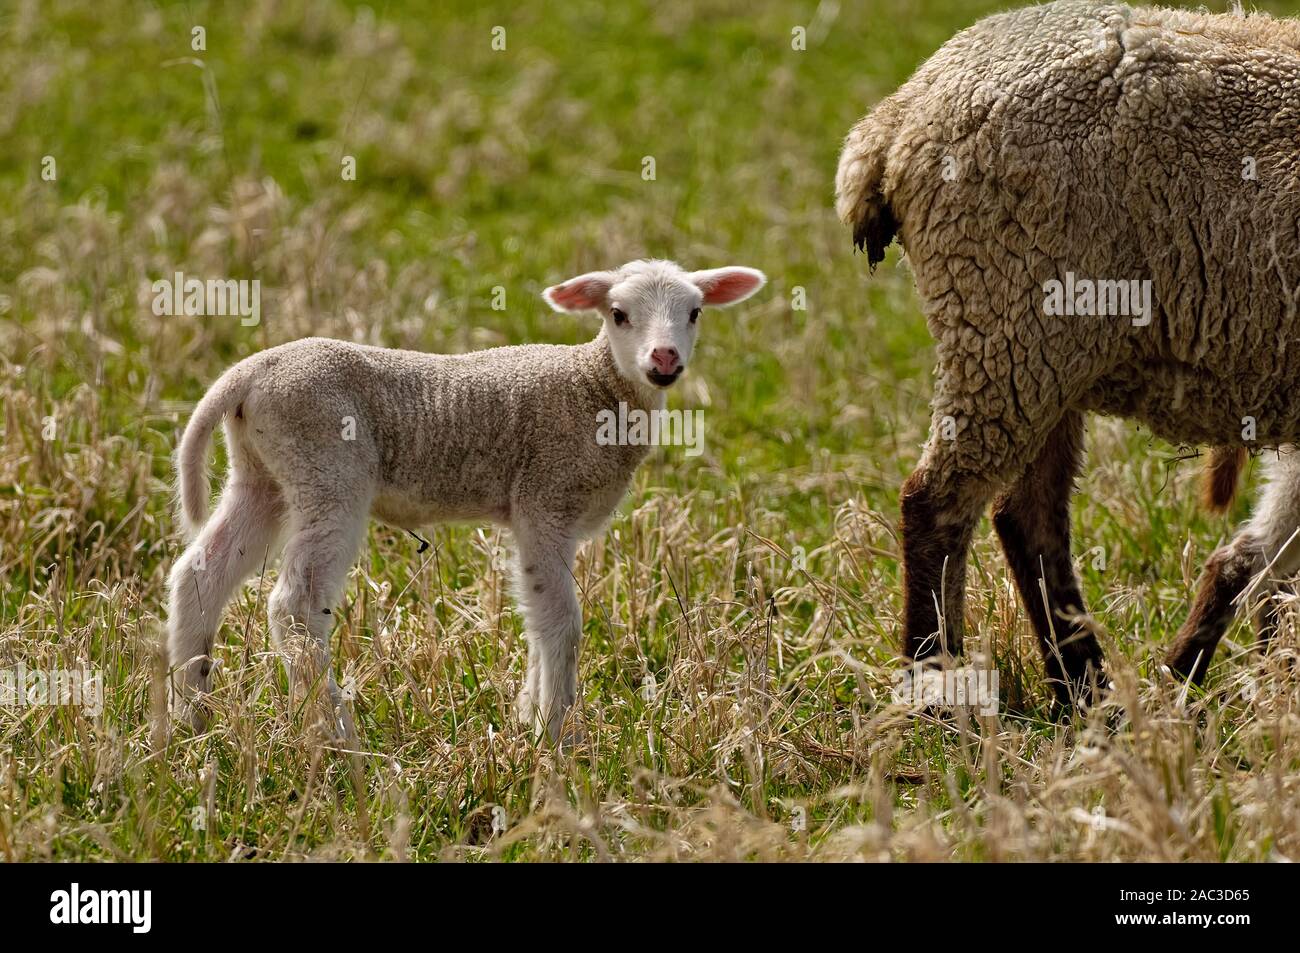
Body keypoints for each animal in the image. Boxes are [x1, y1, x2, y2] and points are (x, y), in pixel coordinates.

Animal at [165, 259, 765, 740]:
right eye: (618, 313)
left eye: (695, 312)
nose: (663, 359)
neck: (593, 385)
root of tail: (248, 374)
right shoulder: (545, 497)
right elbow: (564, 620)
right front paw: (558, 735)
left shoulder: (534, 514)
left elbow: (538, 616)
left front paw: (529, 716)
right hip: (327, 469)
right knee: (294, 605)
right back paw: (335, 734)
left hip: (263, 473)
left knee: (200, 573)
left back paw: (193, 719)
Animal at [834, 1, 1300, 705]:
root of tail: (900, 114)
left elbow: (1258, 555)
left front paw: (1197, 677)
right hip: (1007, 327)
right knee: (937, 502)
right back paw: (938, 688)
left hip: (1044, 355)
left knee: (1026, 514)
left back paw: (1088, 690)